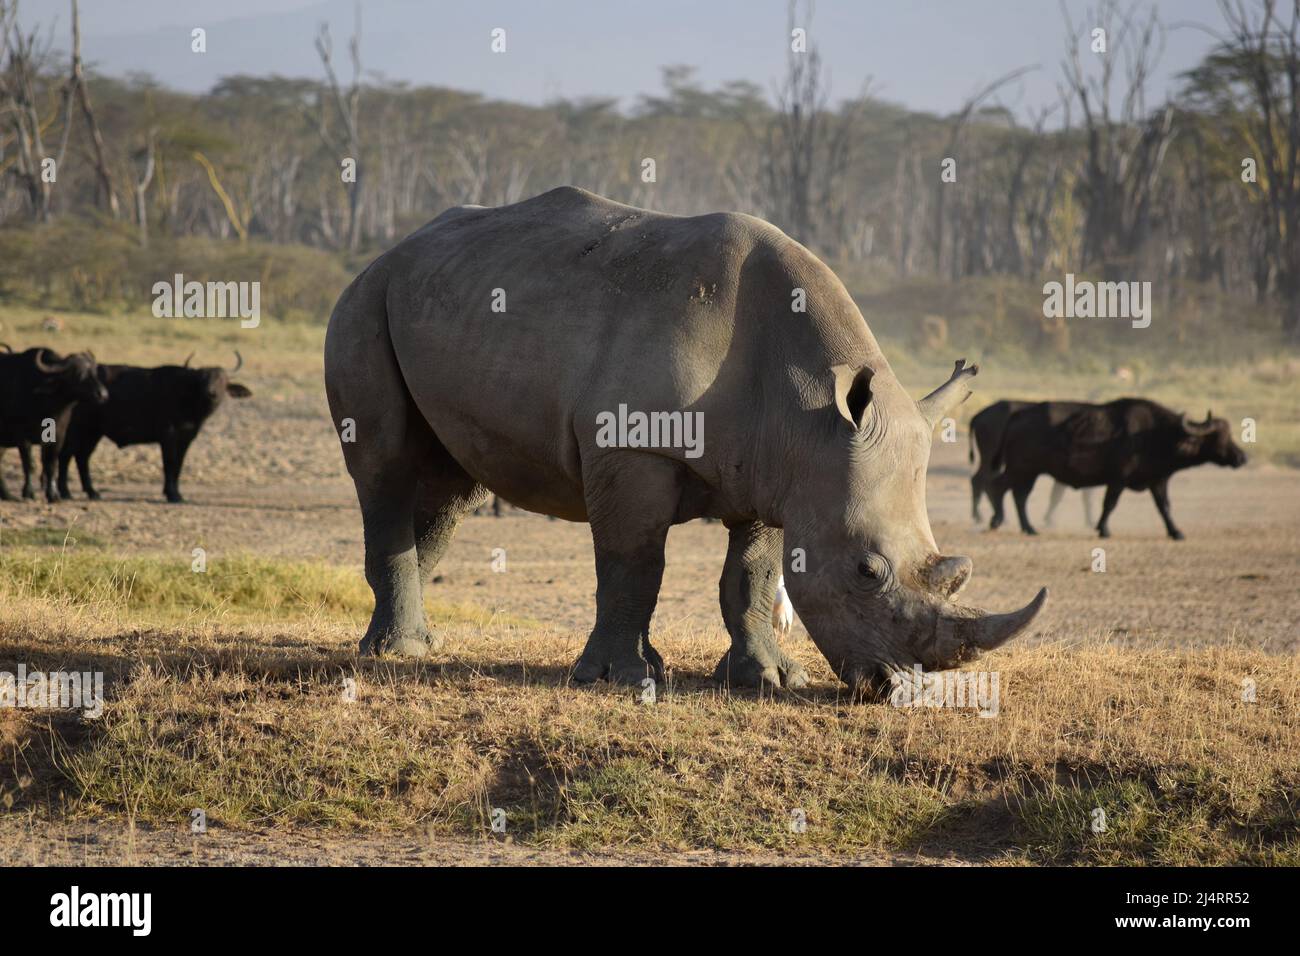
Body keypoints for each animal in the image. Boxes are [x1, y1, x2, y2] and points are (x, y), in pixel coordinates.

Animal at [324, 187, 1048, 695]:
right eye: (868, 573)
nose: (899, 689)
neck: (807, 408)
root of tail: (391, 250)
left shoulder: (781, 468)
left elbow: (751, 577)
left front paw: (768, 679)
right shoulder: (632, 447)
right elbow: (634, 565)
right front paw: (624, 678)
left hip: (443, 302)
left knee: (452, 489)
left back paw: (412, 644)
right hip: (362, 303)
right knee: (386, 467)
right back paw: (396, 652)